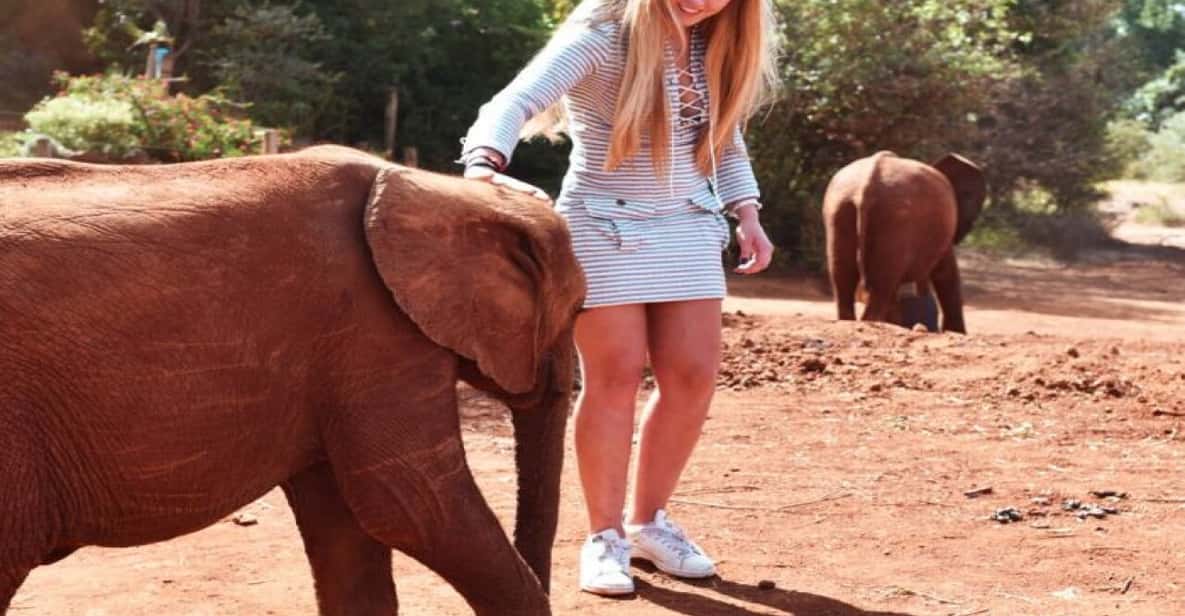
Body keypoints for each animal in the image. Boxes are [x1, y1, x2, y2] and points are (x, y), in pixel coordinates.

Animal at [0, 145, 585, 615]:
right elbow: (411, 506)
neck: (436, 188)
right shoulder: (374, 333)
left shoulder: (337, 356)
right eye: (580, 311)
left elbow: (348, 535)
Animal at [822, 151, 986, 334]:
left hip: (840, 210)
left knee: (843, 280)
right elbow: (946, 273)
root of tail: (866, 187)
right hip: (896, 219)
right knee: (881, 287)